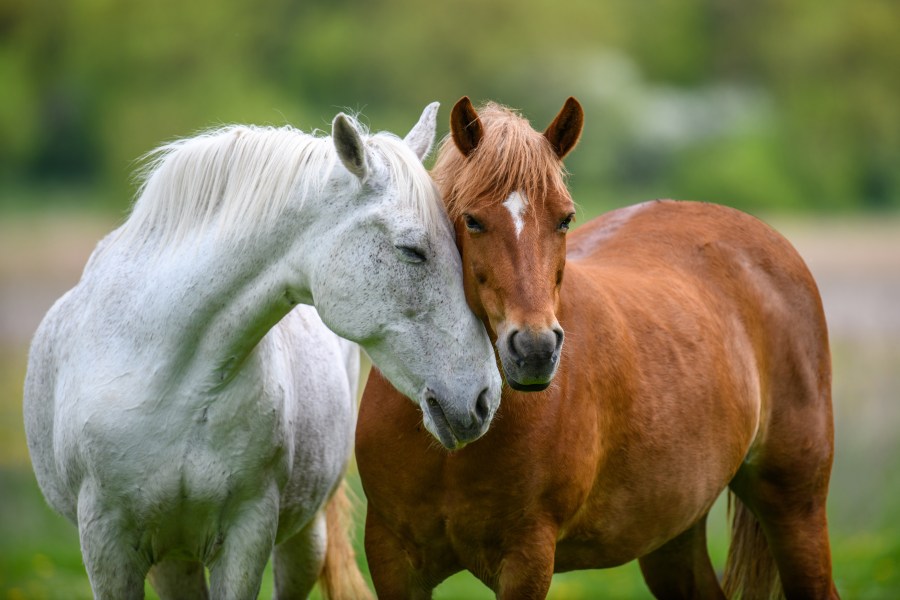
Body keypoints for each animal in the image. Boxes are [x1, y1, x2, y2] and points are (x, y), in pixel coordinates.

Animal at [23, 102, 502, 600]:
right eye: (412, 250)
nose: (485, 398)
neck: (165, 374)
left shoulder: (246, 534)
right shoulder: (107, 545)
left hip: (301, 541)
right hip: (173, 559)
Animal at [356, 98, 839, 599]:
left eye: (564, 218)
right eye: (472, 220)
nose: (534, 350)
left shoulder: (526, 558)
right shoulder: (392, 558)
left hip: (795, 507)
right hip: (673, 536)